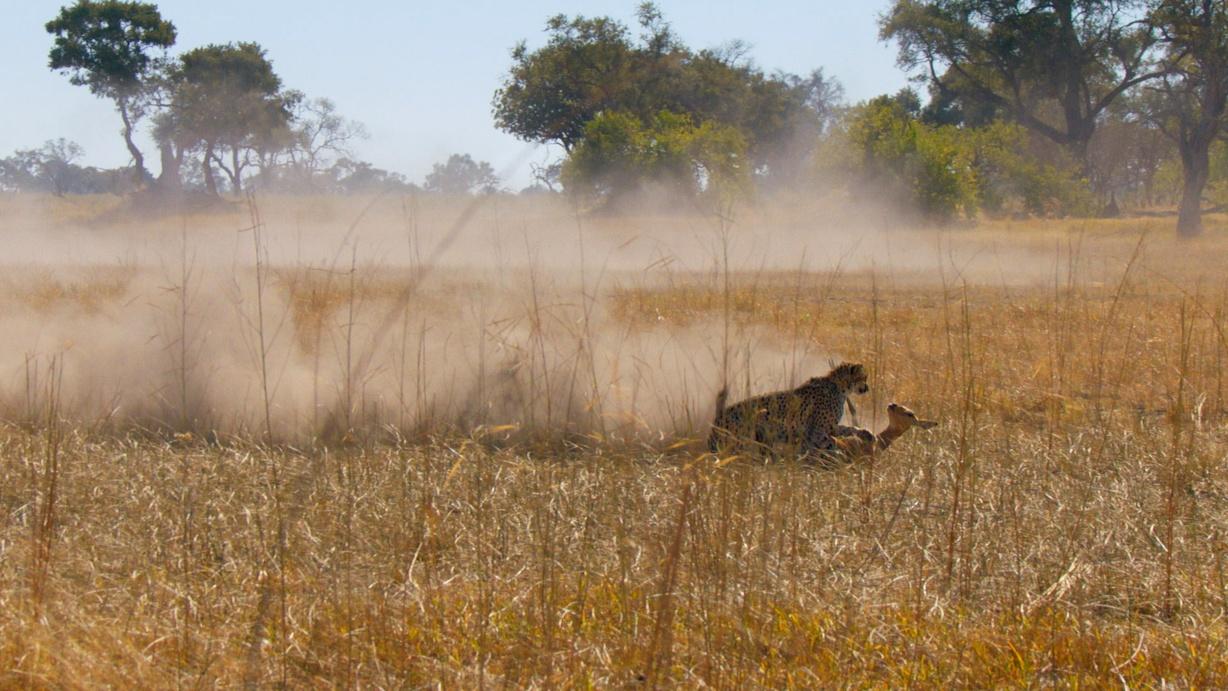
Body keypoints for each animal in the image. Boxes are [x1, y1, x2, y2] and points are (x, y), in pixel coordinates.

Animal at [708, 362, 872, 460]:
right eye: (864, 377)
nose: (867, 387)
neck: (839, 387)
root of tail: (719, 415)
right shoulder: (817, 432)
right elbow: (830, 443)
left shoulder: (829, 427)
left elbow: (848, 429)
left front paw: (866, 433)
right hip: (738, 443)